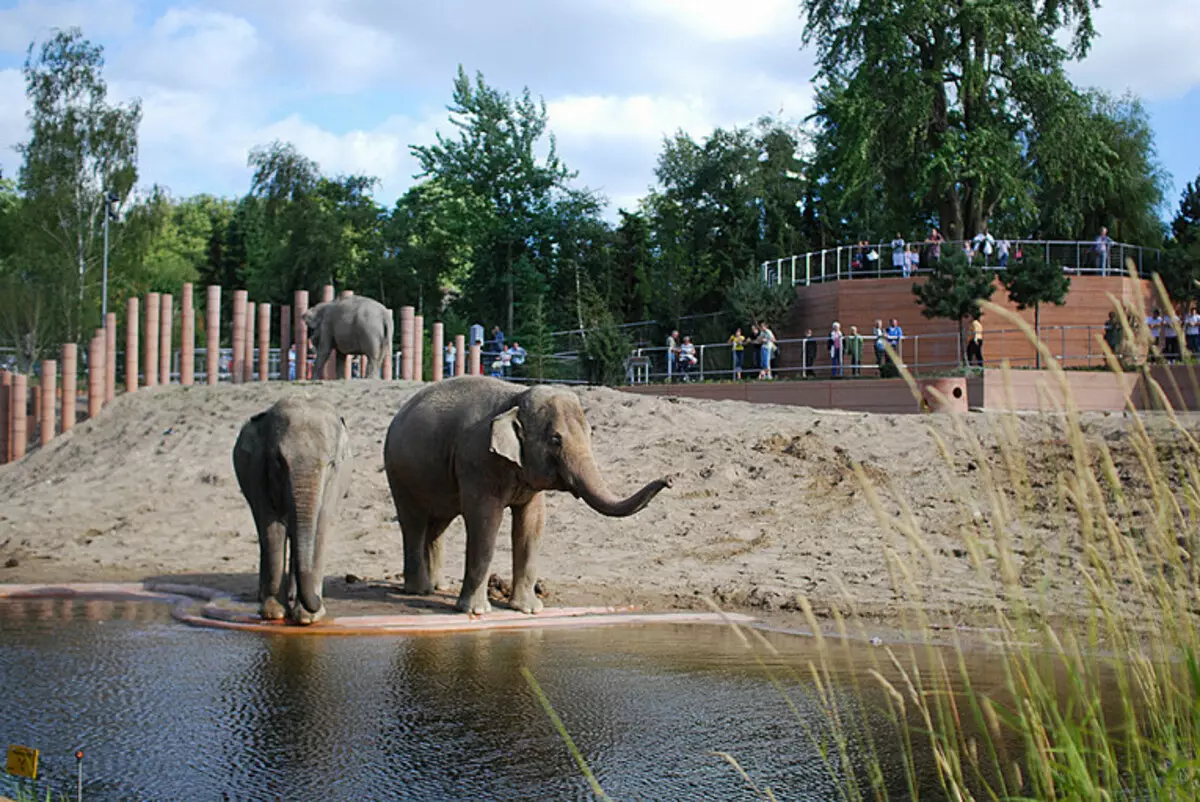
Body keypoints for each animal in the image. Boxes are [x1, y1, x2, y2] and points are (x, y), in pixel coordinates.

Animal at [230, 398, 350, 624]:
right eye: (278, 460)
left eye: (331, 463)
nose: (317, 601)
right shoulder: (259, 471)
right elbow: (273, 527)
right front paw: (274, 613)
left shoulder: (335, 483)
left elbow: (320, 527)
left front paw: (308, 617)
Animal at [381, 376, 672, 614]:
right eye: (555, 439)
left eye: (590, 433)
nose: (669, 479)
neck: (515, 398)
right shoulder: (478, 462)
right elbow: (485, 522)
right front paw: (476, 611)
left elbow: (532, 524)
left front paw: (529, 610)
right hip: (399, 473)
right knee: (414, 523)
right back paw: (419, 590)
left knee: (438, 525)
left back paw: (437, 587)